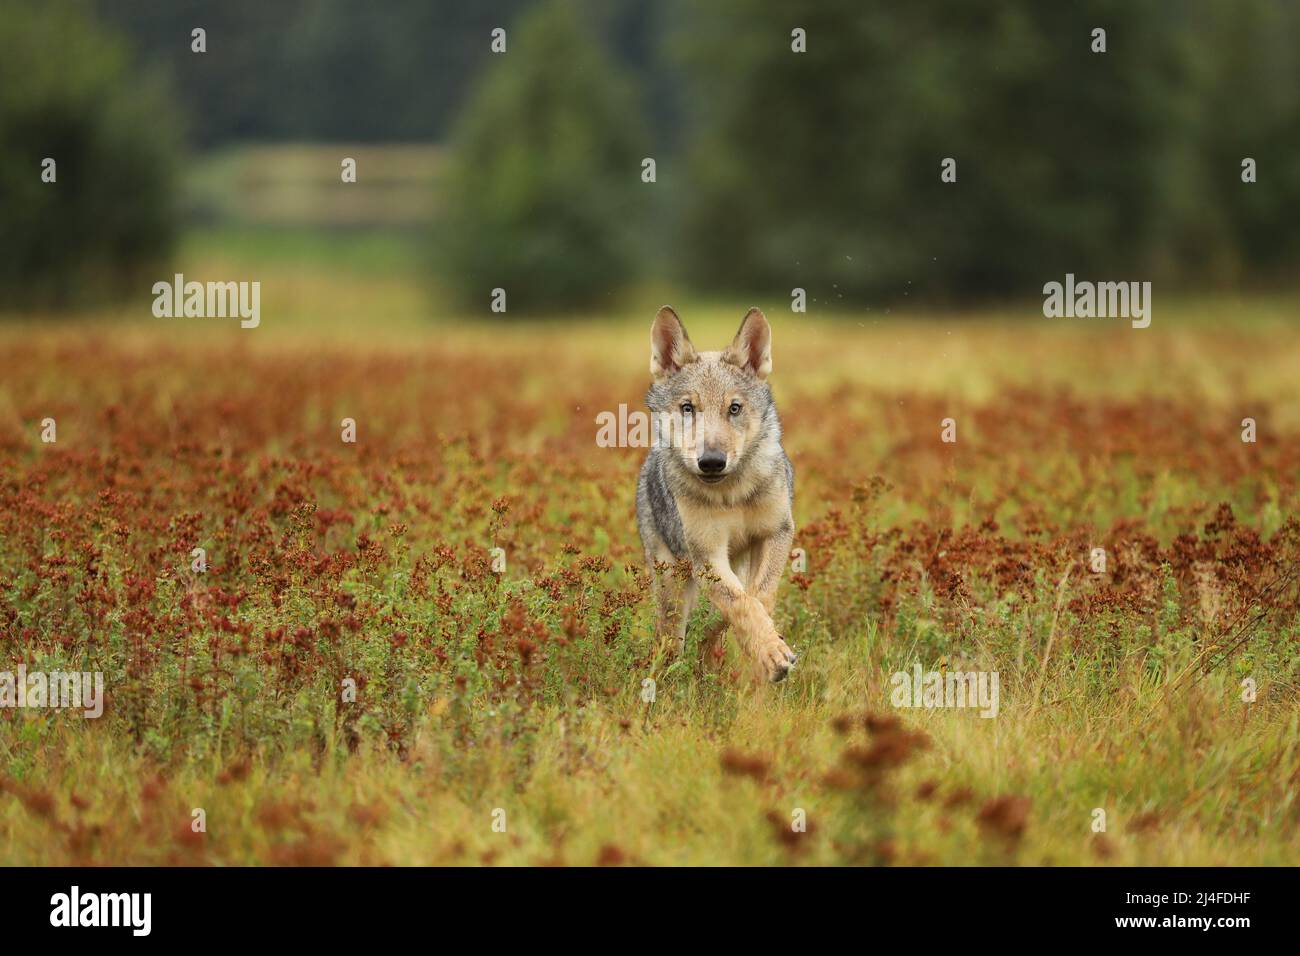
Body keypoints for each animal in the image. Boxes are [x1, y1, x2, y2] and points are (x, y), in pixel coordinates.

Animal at [636, 306, 798, 682]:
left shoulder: (776, 533)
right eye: (688, 408)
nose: (711, 461)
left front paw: (769, 651)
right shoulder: (706, 555)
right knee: (672, 638)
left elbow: (758, 597)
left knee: (712, 625)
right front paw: (771, 653)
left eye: (734, 408)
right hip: (673, 583)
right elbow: (741, 602)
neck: (731, 494)